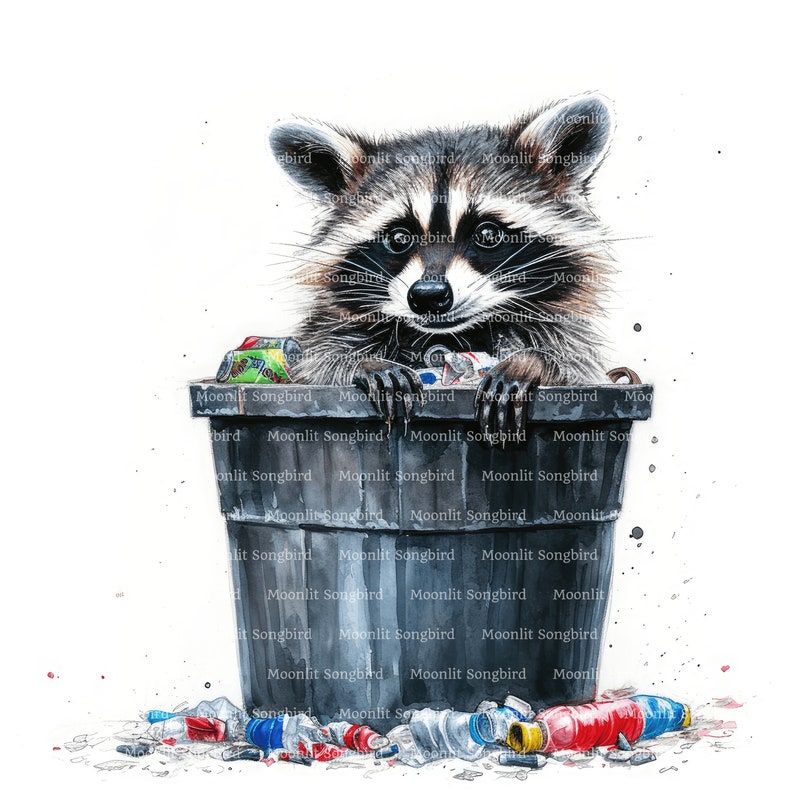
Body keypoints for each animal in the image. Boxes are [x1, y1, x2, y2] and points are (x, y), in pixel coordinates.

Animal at [269, 93, 615, 441]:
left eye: (487, 234)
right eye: (399, 238)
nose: (429, 295)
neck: (450, 340)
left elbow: (576, 363)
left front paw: (532, 360)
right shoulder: (330, 329)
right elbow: (320, 359)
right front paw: (365, 363)